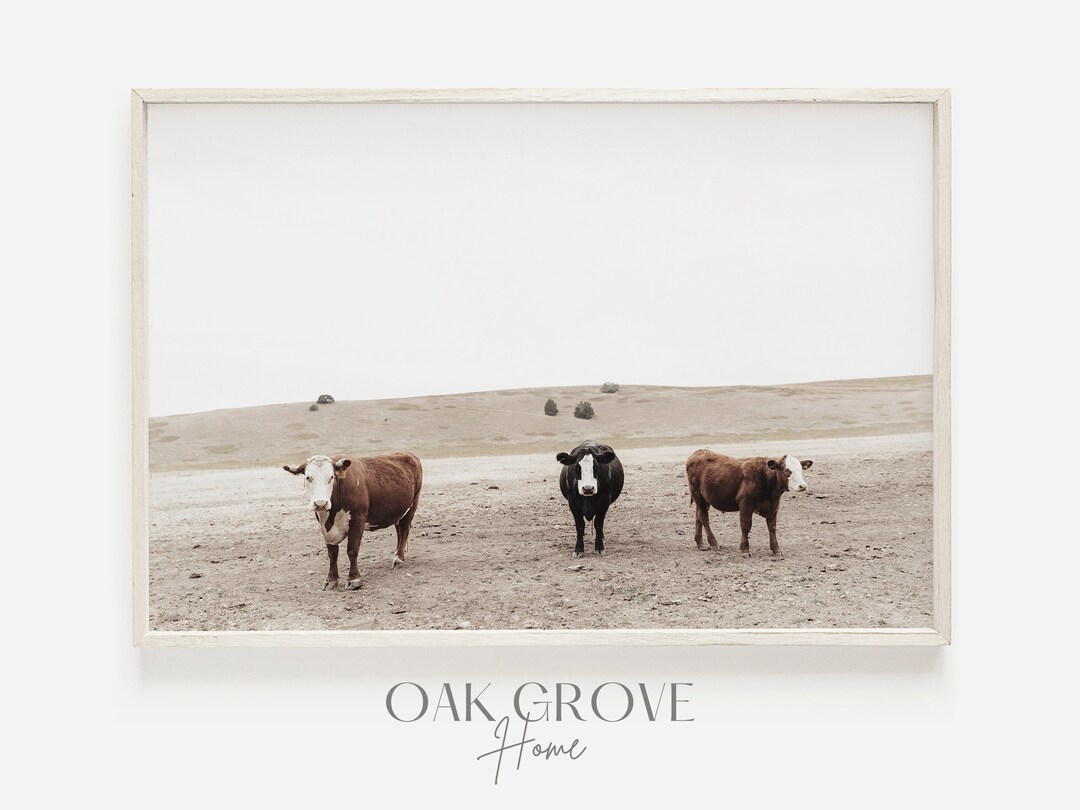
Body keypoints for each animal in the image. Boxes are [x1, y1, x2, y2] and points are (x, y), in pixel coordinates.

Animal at [283, 451, 423, 590]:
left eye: (331, 477)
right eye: (308, 477)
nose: (320, 503)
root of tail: (407, 453)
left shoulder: (357, 520)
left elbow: (352, 550)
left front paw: (354, 579)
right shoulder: (325, 527)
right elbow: (332, 554)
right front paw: (331, 580)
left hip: (412, 505)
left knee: (404, 529)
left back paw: (399, 558)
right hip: (399, 511)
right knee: (399, 529)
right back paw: (399, 554)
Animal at [685, 450, 813, 558]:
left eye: (801, 470)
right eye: (787, 470)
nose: (803, 486)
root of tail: (698, 452)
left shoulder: (774, 506)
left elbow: (772, 528)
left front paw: (776, 550)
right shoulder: (745, 504)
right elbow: (746, 526)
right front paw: (745, 549)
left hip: (702, 500)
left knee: (698, 517)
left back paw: (700, 543)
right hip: (698, 496)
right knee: (704, 517)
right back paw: (713, 543)